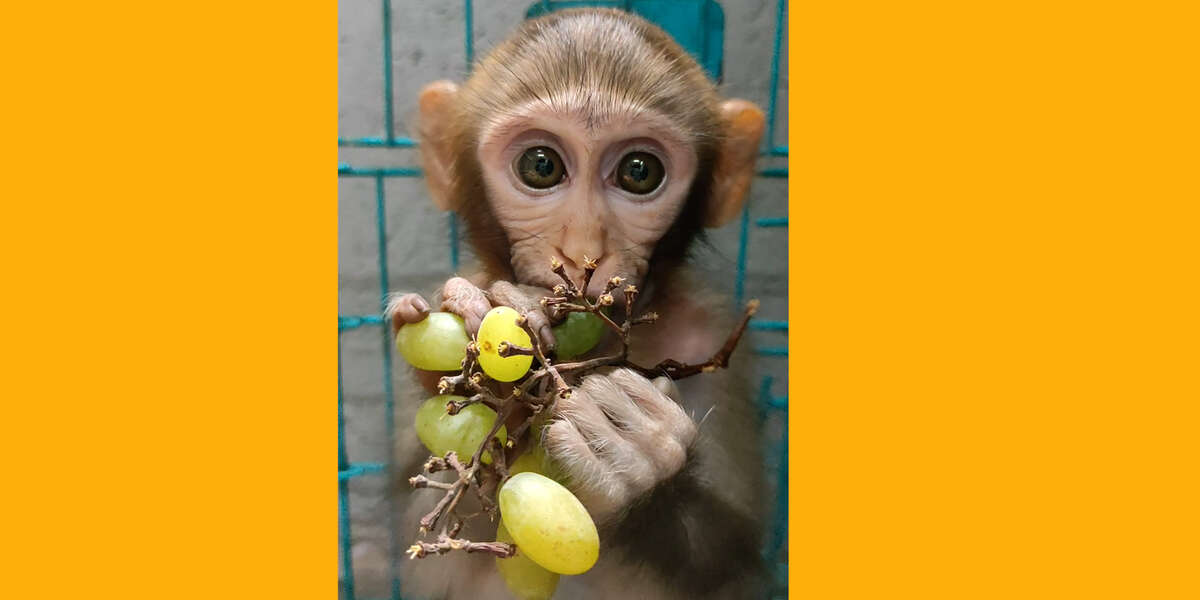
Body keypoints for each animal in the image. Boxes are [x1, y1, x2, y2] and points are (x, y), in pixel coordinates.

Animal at [380, 8, 770, 600]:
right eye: (541, 165)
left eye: (639, 171)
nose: (583, 249)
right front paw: (478, 314)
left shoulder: (709, 331)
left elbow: (731, 559)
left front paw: (637, 458)